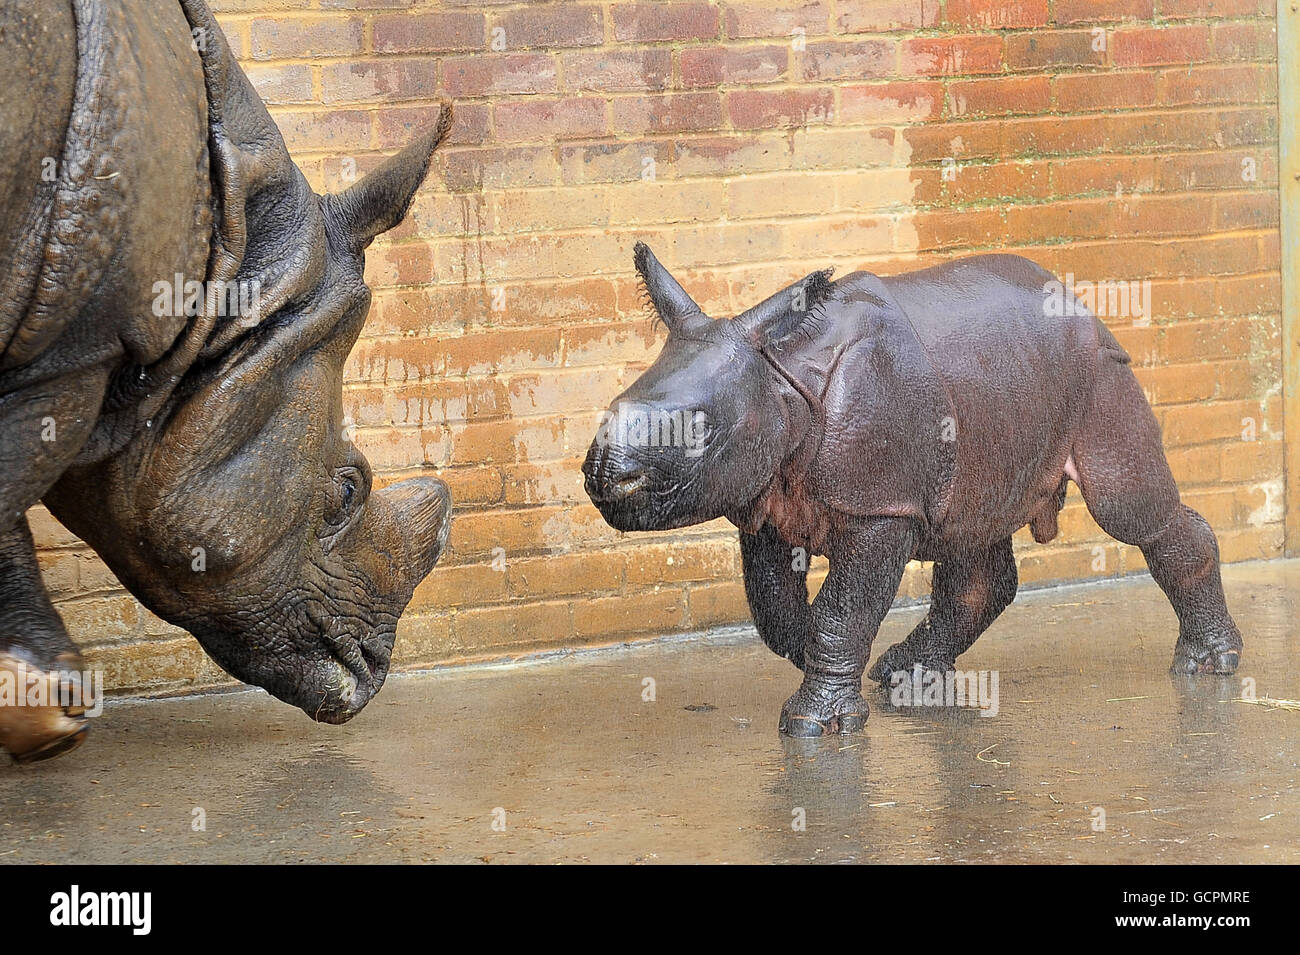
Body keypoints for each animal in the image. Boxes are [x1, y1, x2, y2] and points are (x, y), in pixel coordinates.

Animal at [0, 0, 452, 761]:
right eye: (348, 488)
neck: (224, 276)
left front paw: (39, 701)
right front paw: (45, 704)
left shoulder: (56, 336)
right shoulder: (72, 348)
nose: (372, 672)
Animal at [583, 244, 1243, 737]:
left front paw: (814, 722)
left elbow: (843, 608)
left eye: (697, 427)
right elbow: (777, 609)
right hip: (999, 385)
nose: (603, 477)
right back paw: (906, 677)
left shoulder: (882, 508)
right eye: (613, 405)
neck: (780, 376)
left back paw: (1208, 665)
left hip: (1101, 369)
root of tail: (1076, 298)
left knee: (1130, 511)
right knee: (972, 532)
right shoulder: (763, 498)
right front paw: (812, 660)